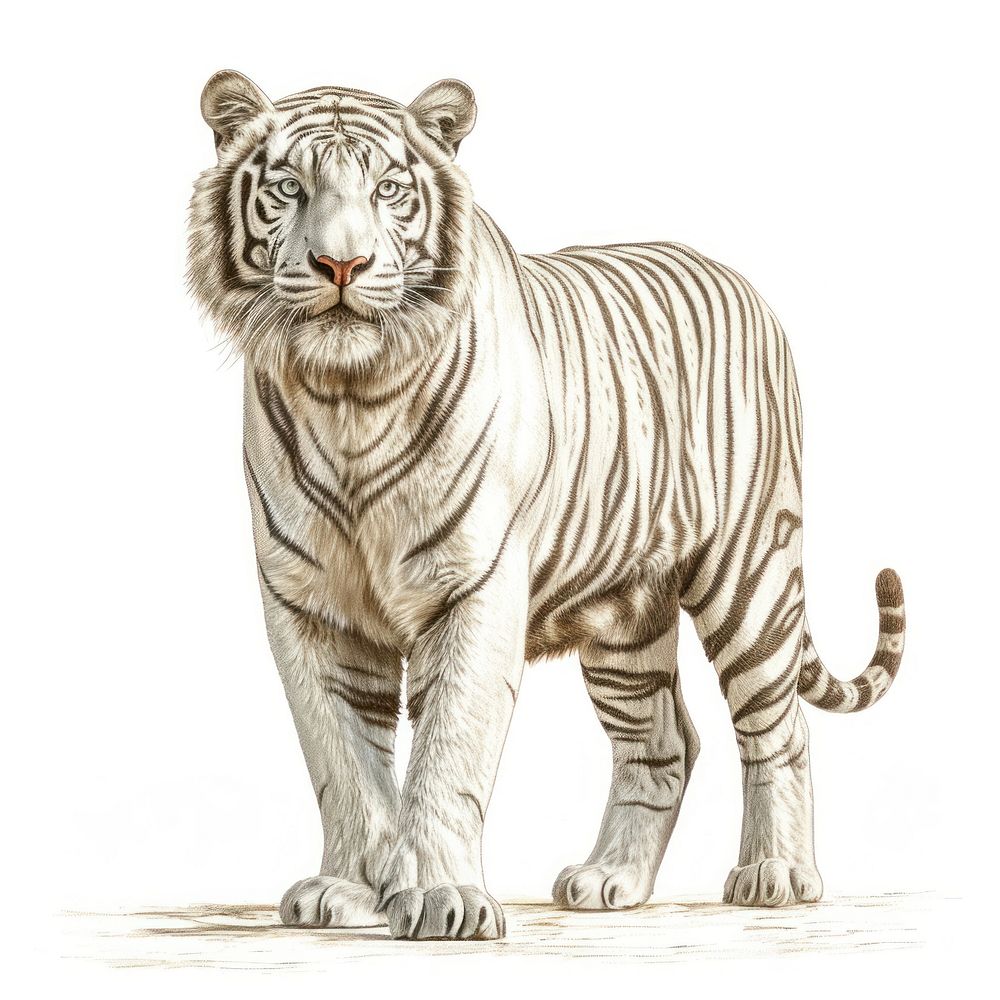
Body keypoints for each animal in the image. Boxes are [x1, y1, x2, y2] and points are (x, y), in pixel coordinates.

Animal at [187, 70, 906, 941]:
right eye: (290, 187)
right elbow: (344, 759)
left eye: (389, 189)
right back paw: (610, 879)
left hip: (751, 575)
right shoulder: (312, 606)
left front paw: (443, 898)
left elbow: (449, 751)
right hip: (624, 619)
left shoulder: (474, 587)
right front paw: (349, 890)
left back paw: (777, 874)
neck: (348, 397)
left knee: (779, 727)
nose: (341, 264)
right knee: (664, 742)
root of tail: (734, 277)